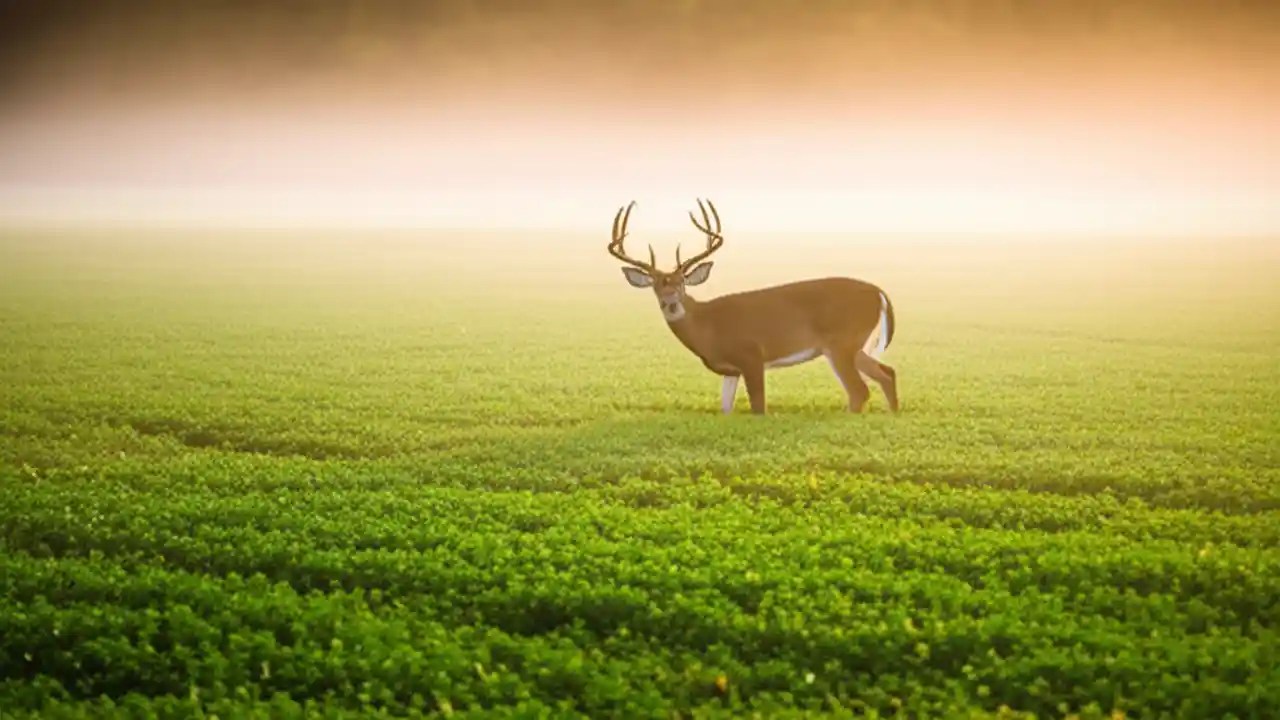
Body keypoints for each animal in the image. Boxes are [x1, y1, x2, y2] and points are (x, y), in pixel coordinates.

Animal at [608, 198, 899, 415]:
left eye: (681, 284)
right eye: (656, 286)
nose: (671, 303)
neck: (708, 327)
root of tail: (879, 293)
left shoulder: (751, 355)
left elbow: (759, 406)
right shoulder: (730, 371)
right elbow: (726, 409)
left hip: (841, 342)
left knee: (859, 390)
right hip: (851, 344)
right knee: (887, 373)